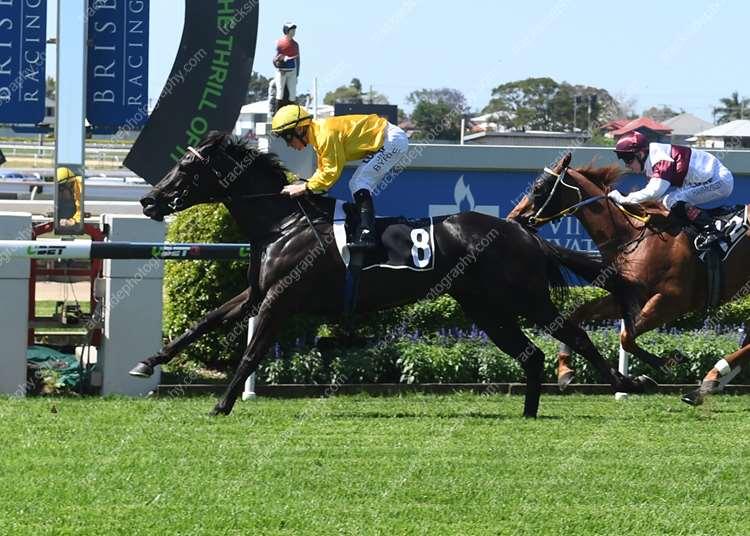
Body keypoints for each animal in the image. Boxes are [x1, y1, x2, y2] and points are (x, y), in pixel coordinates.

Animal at [134, 132, 654, 417]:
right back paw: (529, 412)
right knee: (530, 354)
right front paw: (148, 362)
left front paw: (220, 403)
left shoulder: (282, 299)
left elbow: (251, 353)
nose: (148, 200)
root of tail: (521, 230)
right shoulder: (258, 293)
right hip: (485, 309)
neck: (284, 222)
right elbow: (205, 321)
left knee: (574, 334)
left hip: (525, 298)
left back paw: (626, 383)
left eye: (186, 167)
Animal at [507, 153, 750, 405]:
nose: (514, 216)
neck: (633, 237)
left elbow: (626, 337)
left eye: (538, 187)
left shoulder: (672, 301)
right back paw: (707, 385)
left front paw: (666, 362)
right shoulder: (629, 295)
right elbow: (579, 314)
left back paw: (712, 377)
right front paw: (565, 370)